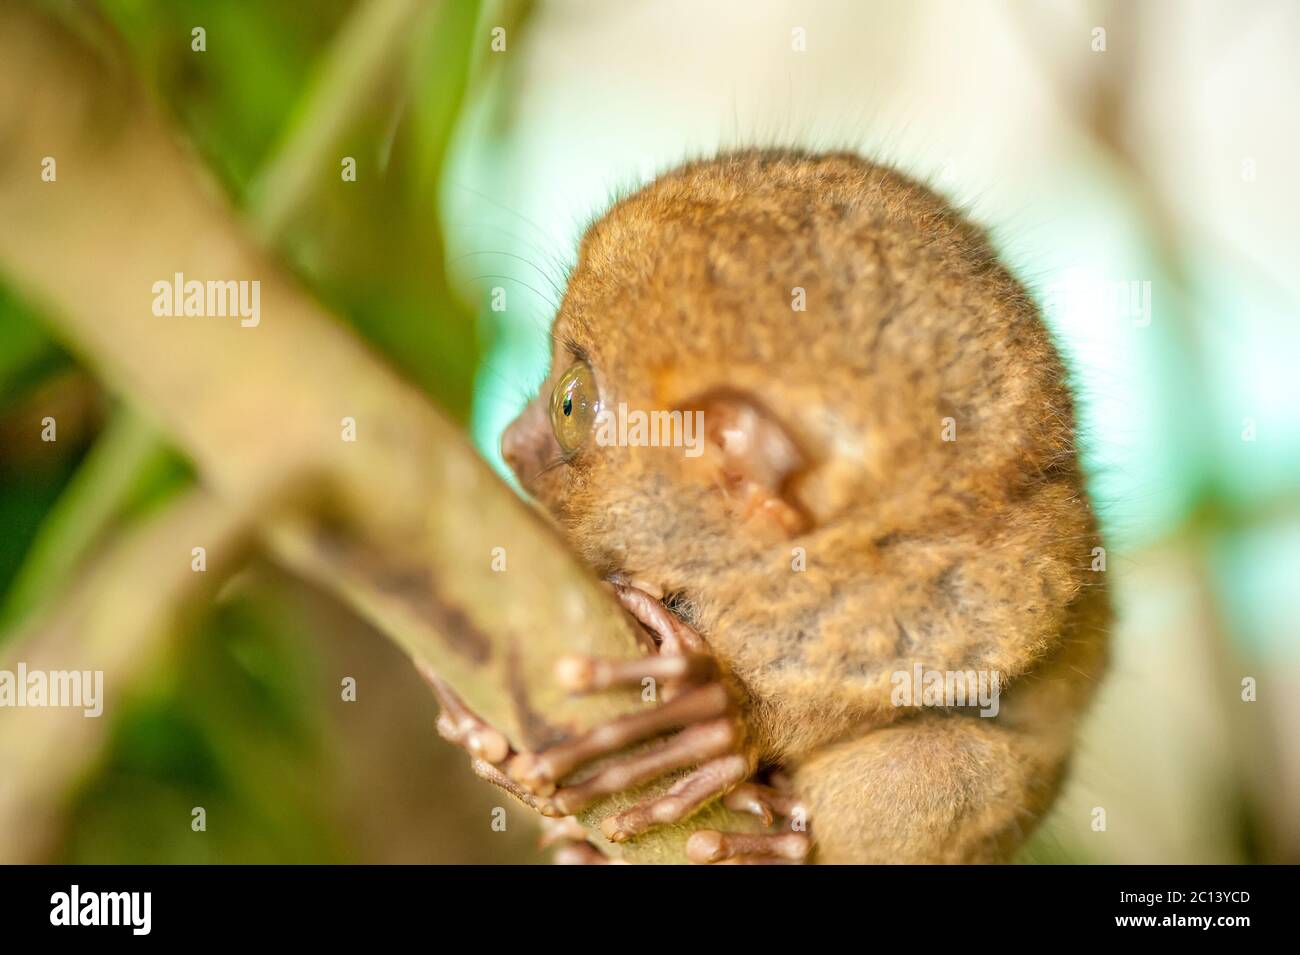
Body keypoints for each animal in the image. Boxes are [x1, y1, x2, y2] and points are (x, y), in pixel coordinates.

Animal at [432, 149, 1109, 863]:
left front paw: (727, 717)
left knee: (950, 770)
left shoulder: (998, 562)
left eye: (568, 405)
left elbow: (991, 633)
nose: (510, 442)